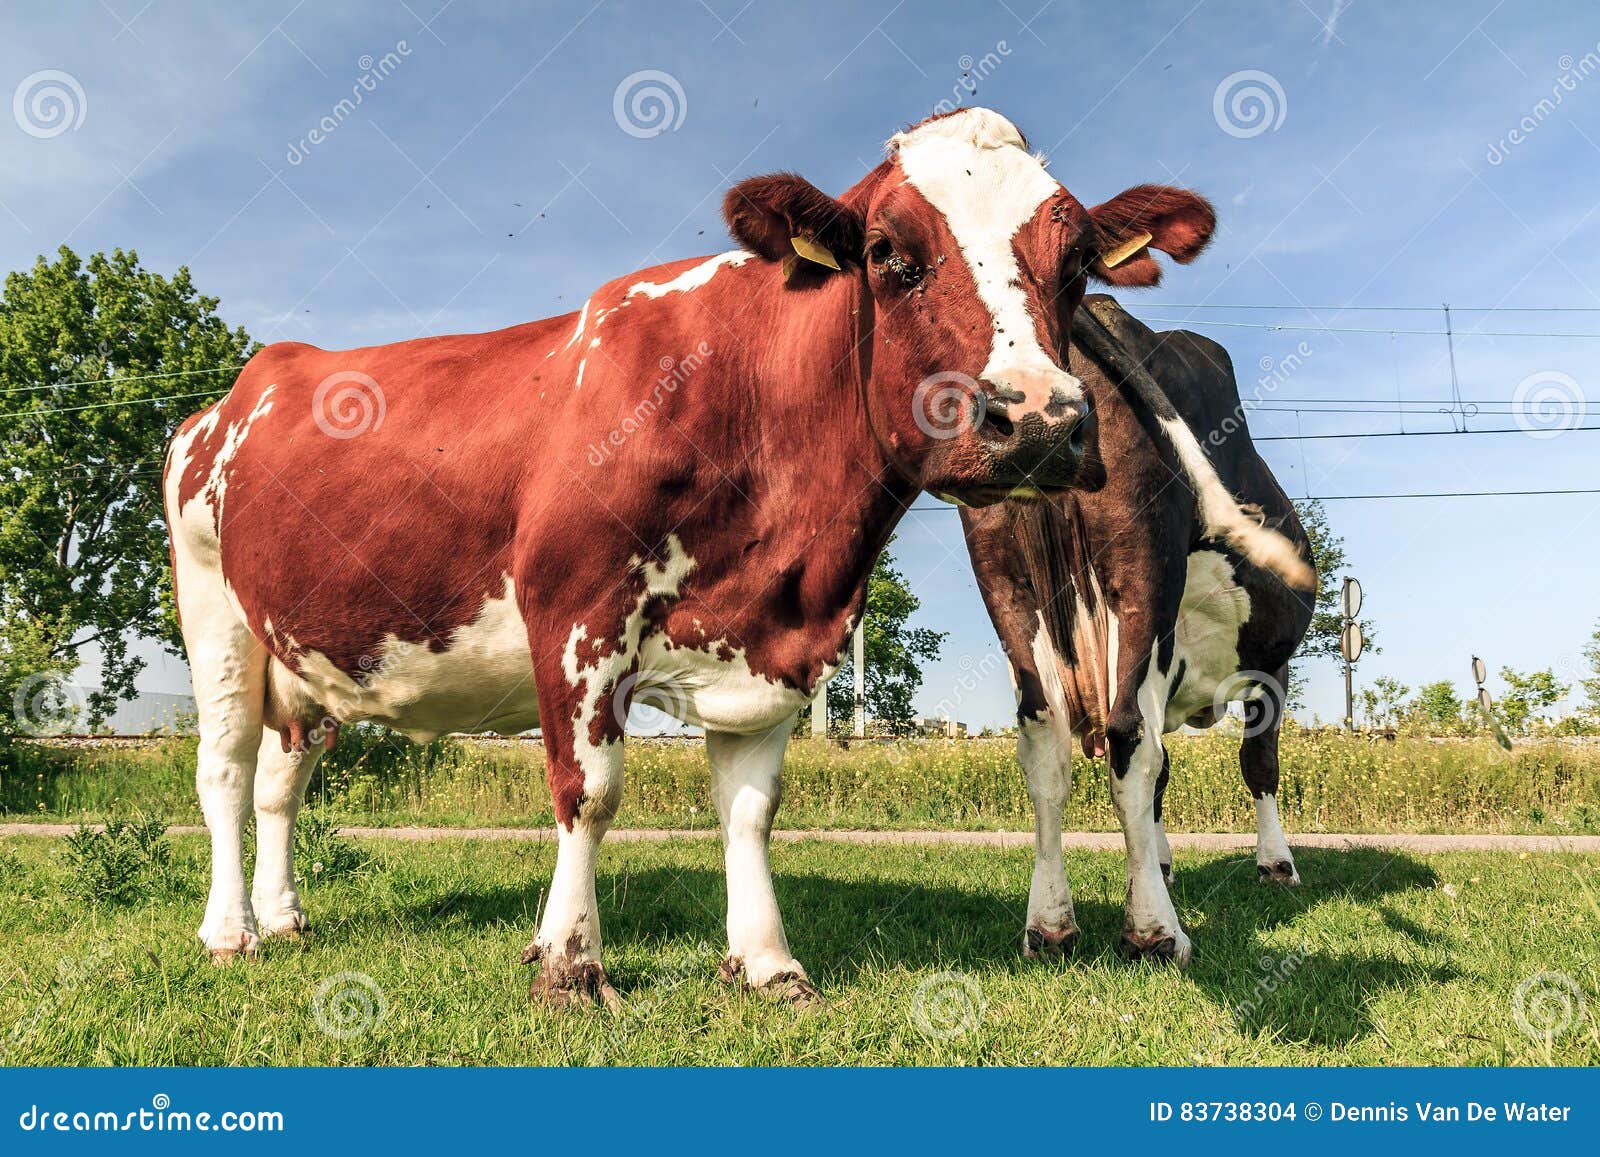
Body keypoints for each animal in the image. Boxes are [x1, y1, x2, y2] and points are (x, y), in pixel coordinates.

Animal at [961, 294, 1317, 967]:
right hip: (1142, 578)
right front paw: (1276, 865)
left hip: (1009, 580)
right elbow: (1256, 762)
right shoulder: (1268, 668)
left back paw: (1049, 924)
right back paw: (1156, 931)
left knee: (1044, 740)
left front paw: (1161, 860)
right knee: (1131, 742)